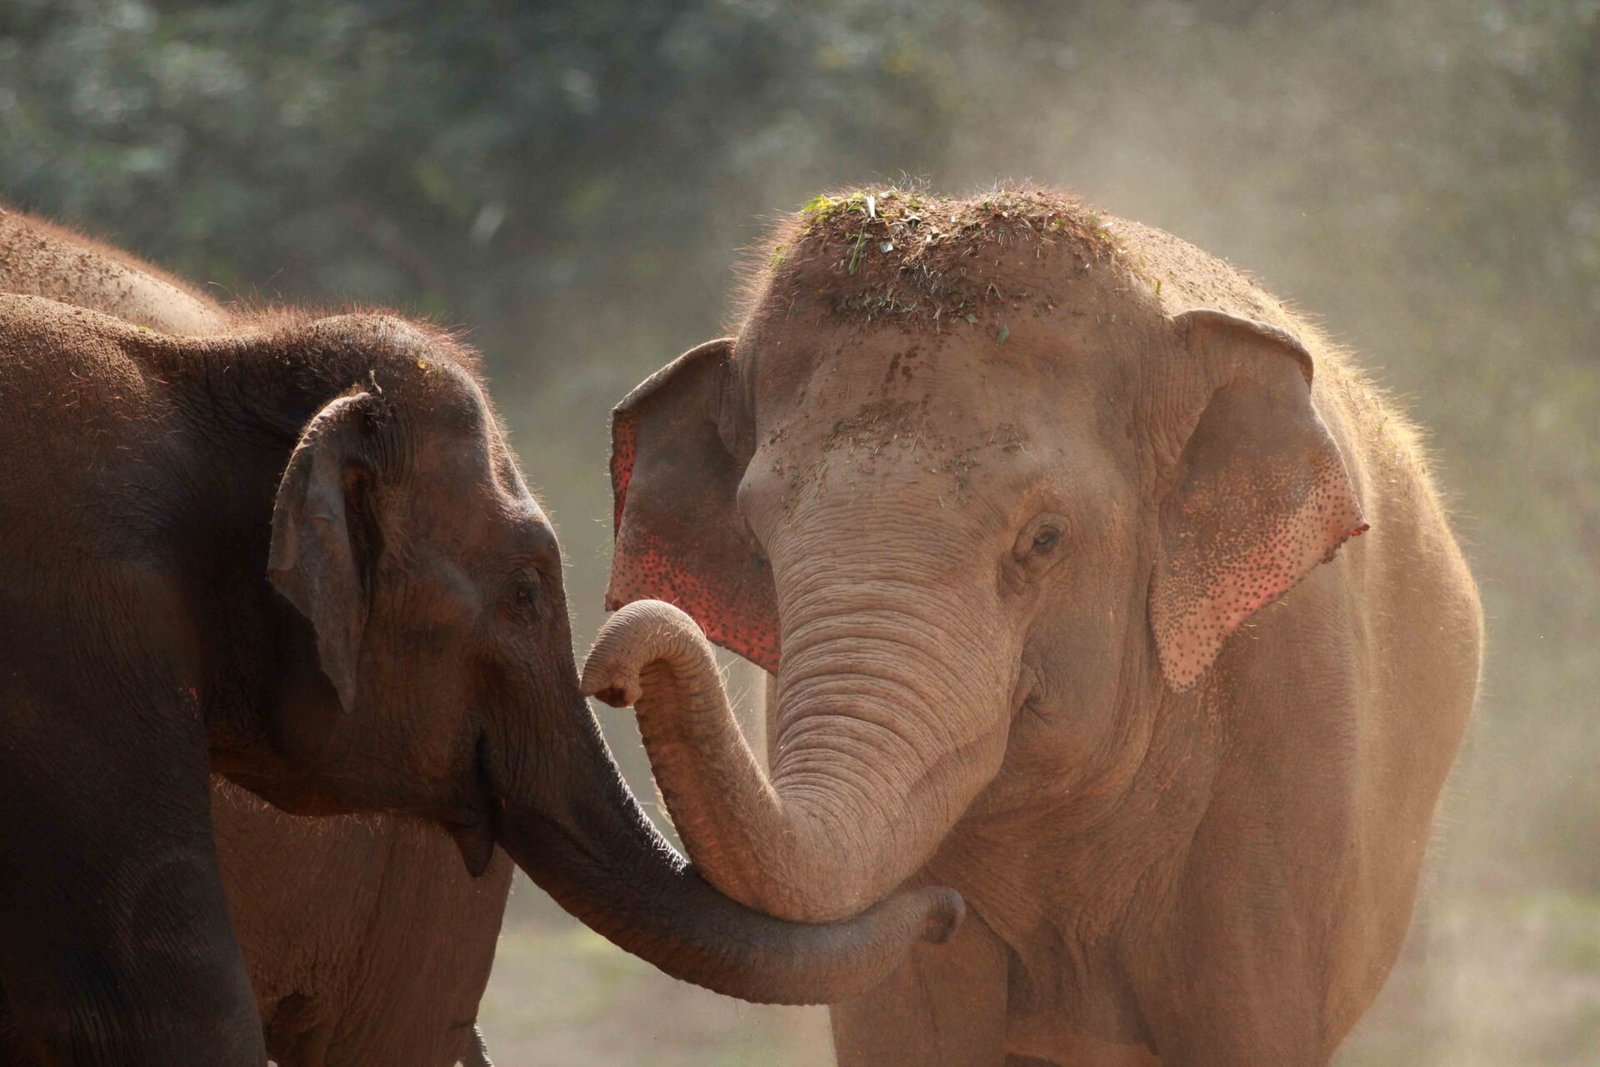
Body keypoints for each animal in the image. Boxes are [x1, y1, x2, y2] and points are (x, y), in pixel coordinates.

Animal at [582, 186, 1483, 1066]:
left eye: (1044, 540)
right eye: (758, 541)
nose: (607, 669)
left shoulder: (1289, 726)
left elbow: (1249, 1028)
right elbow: (909, 1029)